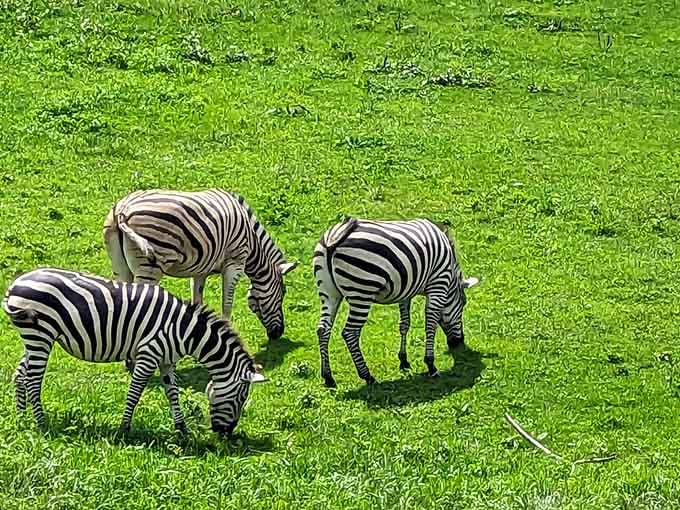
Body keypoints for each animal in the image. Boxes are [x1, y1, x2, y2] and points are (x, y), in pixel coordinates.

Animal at [2, 267, 266, 436]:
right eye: (241, 397)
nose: (226, 433)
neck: (183, 329)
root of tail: (15, 285)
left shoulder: (167, 360)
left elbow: (173, 393)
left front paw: (182, 430)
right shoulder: (148, 354)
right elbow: (135, 392)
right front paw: (124, 428)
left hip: (34, 338)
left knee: (20, 375)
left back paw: (22, 417)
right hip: (40, 335)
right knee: (33, 379)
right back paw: (42, 423)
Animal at [102, 189, 297, 347]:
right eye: (283, 293)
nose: (278, 334)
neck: (252, 243)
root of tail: (122, 209)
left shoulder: (200, 269)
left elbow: (197, 298)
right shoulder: (235, 262)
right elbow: (227, 302)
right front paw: (227, 331)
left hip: (120, 265)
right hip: (150, 264)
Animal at [313, 217, 479, 387]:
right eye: (463, 304)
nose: (459, 342)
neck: (450, 274)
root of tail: (338, 234)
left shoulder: (406, 291)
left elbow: (404, 324)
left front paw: (404, 360)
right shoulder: (438, 283)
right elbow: (430, 323)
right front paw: (431, 365)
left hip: (329, 293)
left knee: (323, 330)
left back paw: (328, 377)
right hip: (361, 290)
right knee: (350, 333)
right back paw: (367, 376)